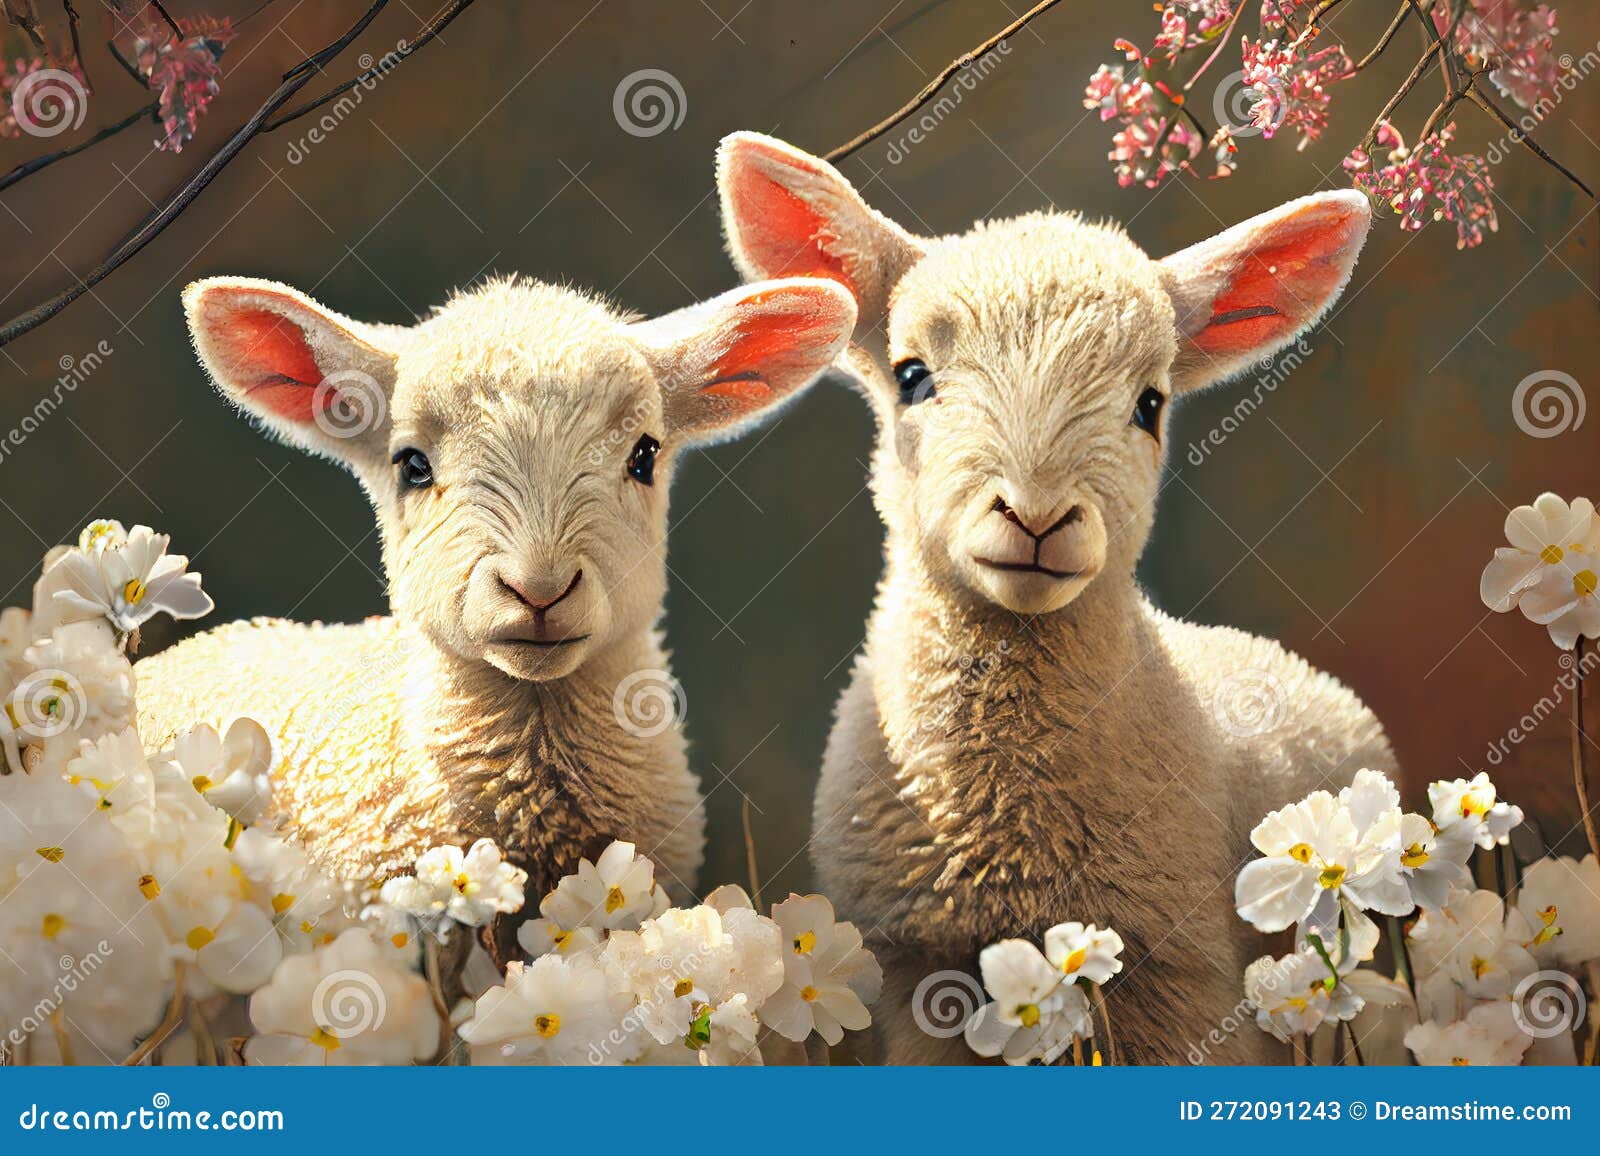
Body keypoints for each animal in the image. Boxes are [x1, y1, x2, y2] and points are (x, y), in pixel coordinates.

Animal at [716, 132, 1395, 1064]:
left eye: (1150, 403)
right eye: (912, 377)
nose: (1036, 517)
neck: (1007, 830)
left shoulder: (1185, 974)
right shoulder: (915, 973)